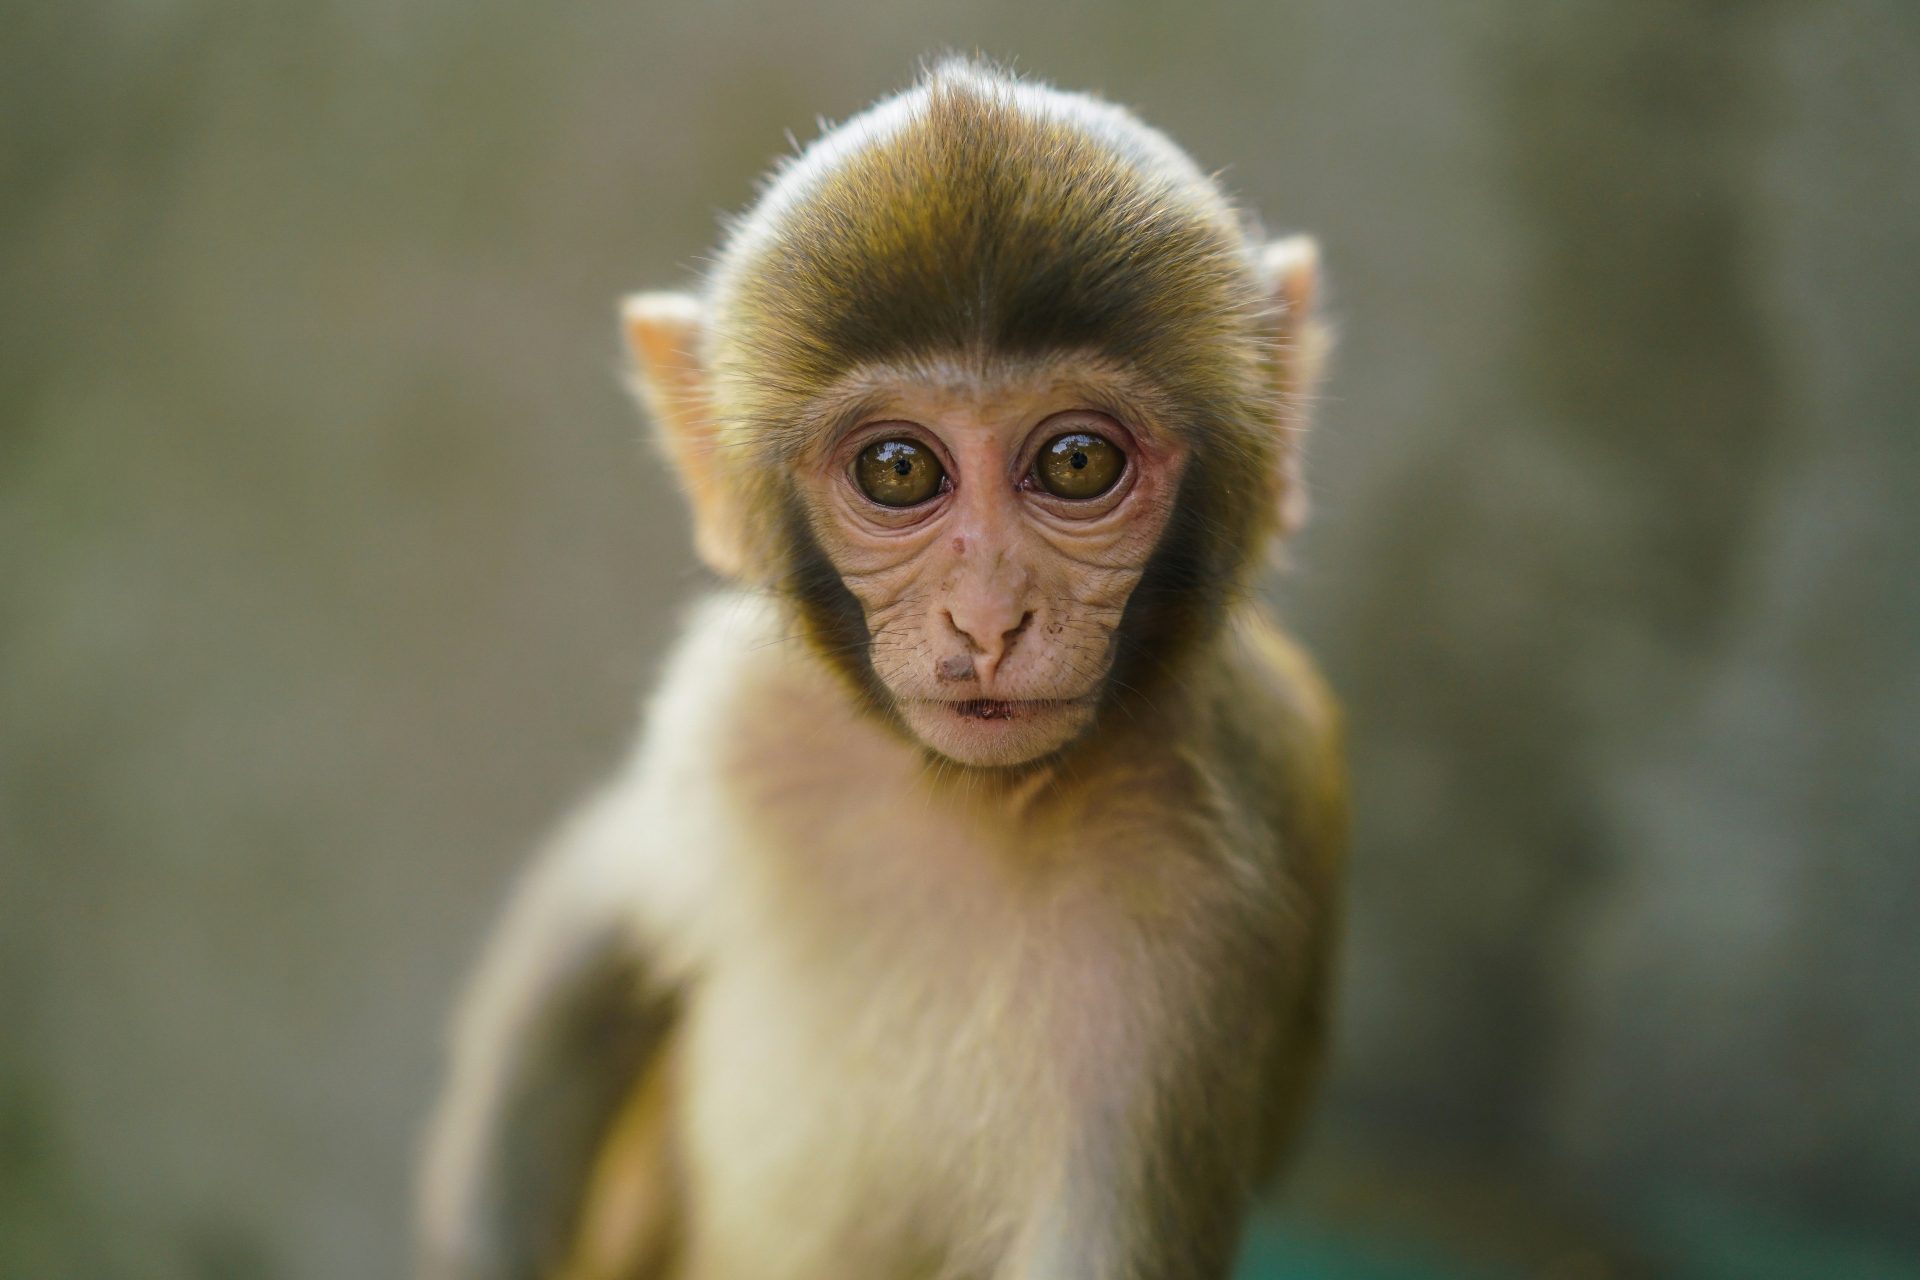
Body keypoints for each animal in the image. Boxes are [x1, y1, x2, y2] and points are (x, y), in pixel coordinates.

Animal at [416, 59, 1345, 1280]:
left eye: (1077, 462)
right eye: (900, 470)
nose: (989, 616)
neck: (973, 798)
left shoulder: (1203, 897)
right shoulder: (739, 716)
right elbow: (591, 924)